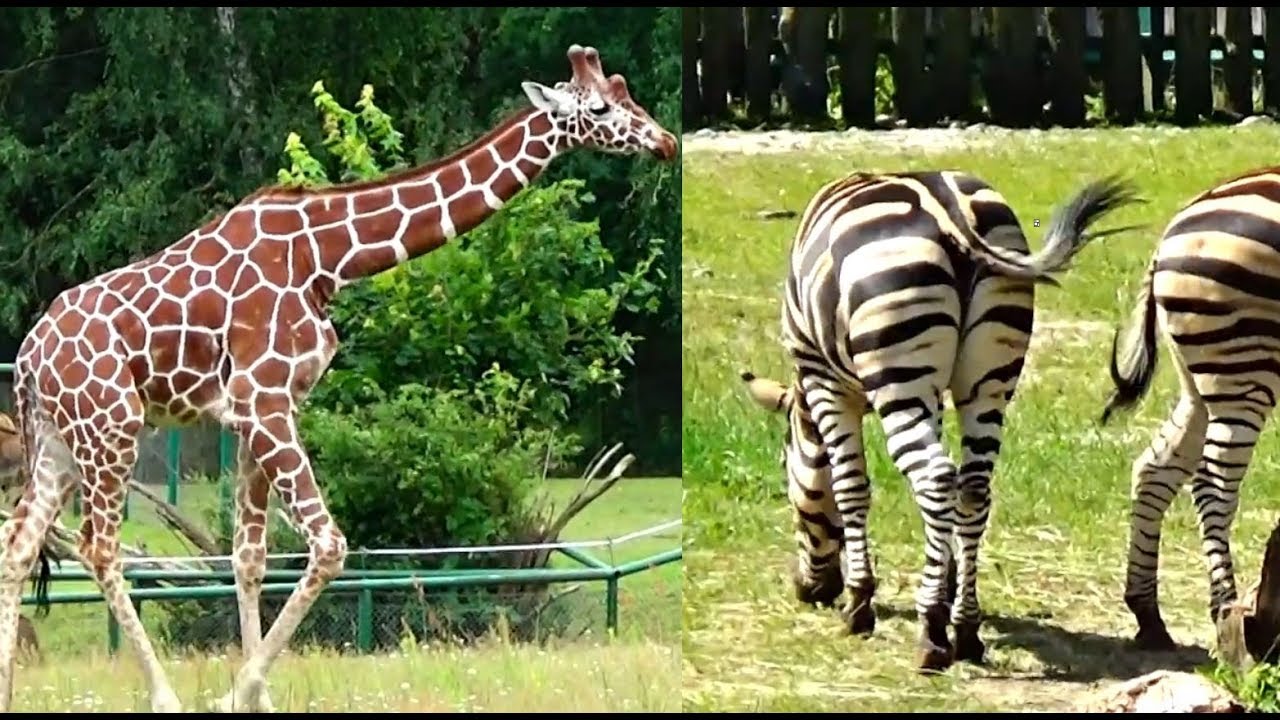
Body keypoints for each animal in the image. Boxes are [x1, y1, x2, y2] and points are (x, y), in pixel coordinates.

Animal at [0, 43, 677, 713]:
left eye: (627, 91)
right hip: (111, 427)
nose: (665, 141)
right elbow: (327, 546)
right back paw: (164, 696)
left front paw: (257, 699)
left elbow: (249, 557)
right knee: (98, 547)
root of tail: (29, 357)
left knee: (19, 543)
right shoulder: (263, 400)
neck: (327, 256)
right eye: (599, 107)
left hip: (60, 442)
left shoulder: (261, 410)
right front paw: (230, 696)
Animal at [740, 169, 1141, 673]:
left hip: (900, 369)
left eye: (785, 474)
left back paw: (931, 632)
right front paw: (946, 582)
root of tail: (948, 207)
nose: (808, 591)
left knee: (934, 477)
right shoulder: (928, 395)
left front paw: (860, 603)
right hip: (986, 381)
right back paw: (965, 630)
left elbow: (851, 488)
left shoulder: (826, 383)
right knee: (970, 487)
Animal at [1100, 165, 1280, 652]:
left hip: (1201, 381)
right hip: (1243, 371)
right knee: (1212, 484)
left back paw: (1149, 616)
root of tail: (1171, 233)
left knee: (1155, 468)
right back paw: (1229, 619)